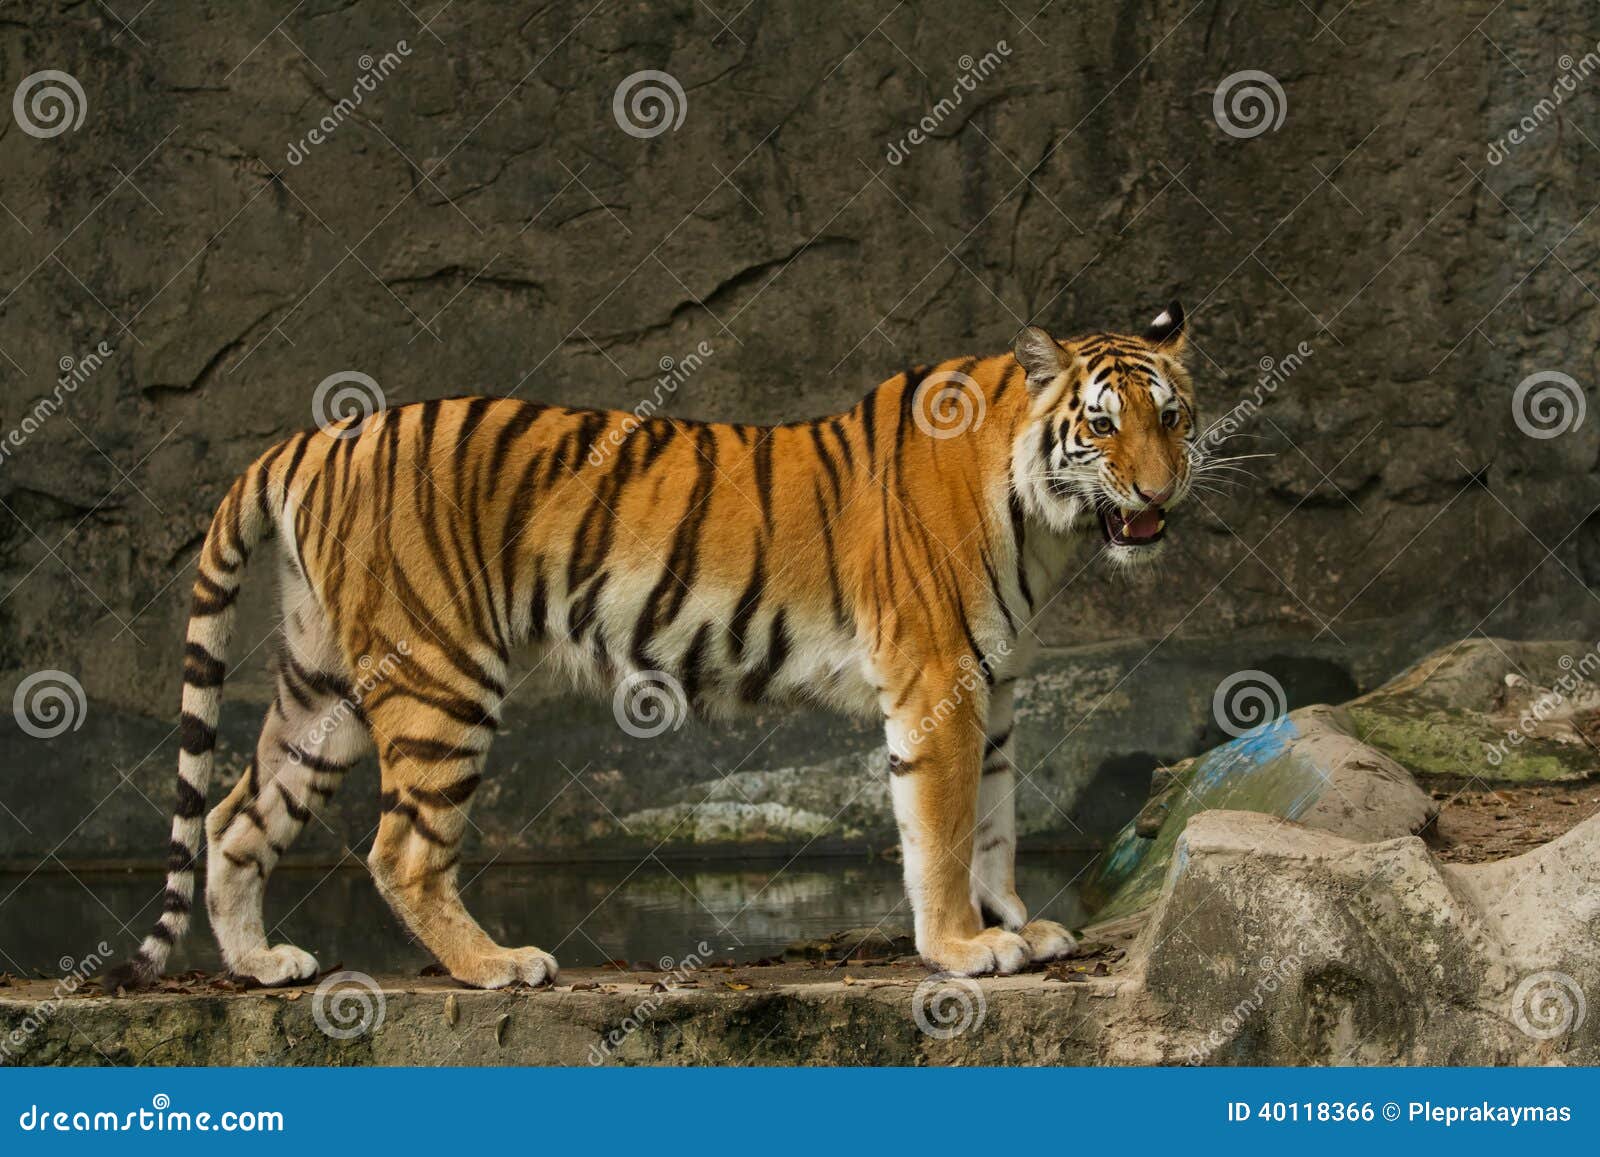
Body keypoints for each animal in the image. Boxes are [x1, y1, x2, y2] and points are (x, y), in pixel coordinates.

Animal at [109, 301, 1197, 989]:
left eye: (1172, 416)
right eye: (1102, 426)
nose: (1159, 490)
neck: (1045, 522)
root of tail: (314, 438)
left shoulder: (994, 686)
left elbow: (997, 820)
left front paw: (1016, 921)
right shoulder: (939, 683)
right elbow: (943, 827)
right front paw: (964, 948)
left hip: (326, 682)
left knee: (235, 816)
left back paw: (261, 965)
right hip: (439, 673)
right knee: (401, 849)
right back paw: (497, 966)